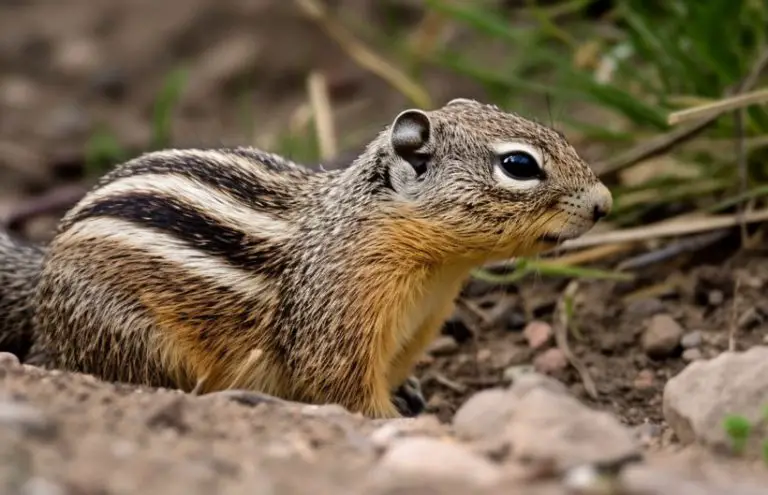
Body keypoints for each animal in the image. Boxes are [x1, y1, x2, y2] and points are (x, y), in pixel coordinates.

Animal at [0, 98, 611, 419]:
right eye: (518, 165)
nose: (605, 203)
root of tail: (43, 276)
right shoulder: (334, 327)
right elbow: (344, 392)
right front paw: (398, 420)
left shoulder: (412, 332)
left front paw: (409, 393)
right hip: (135, 338)